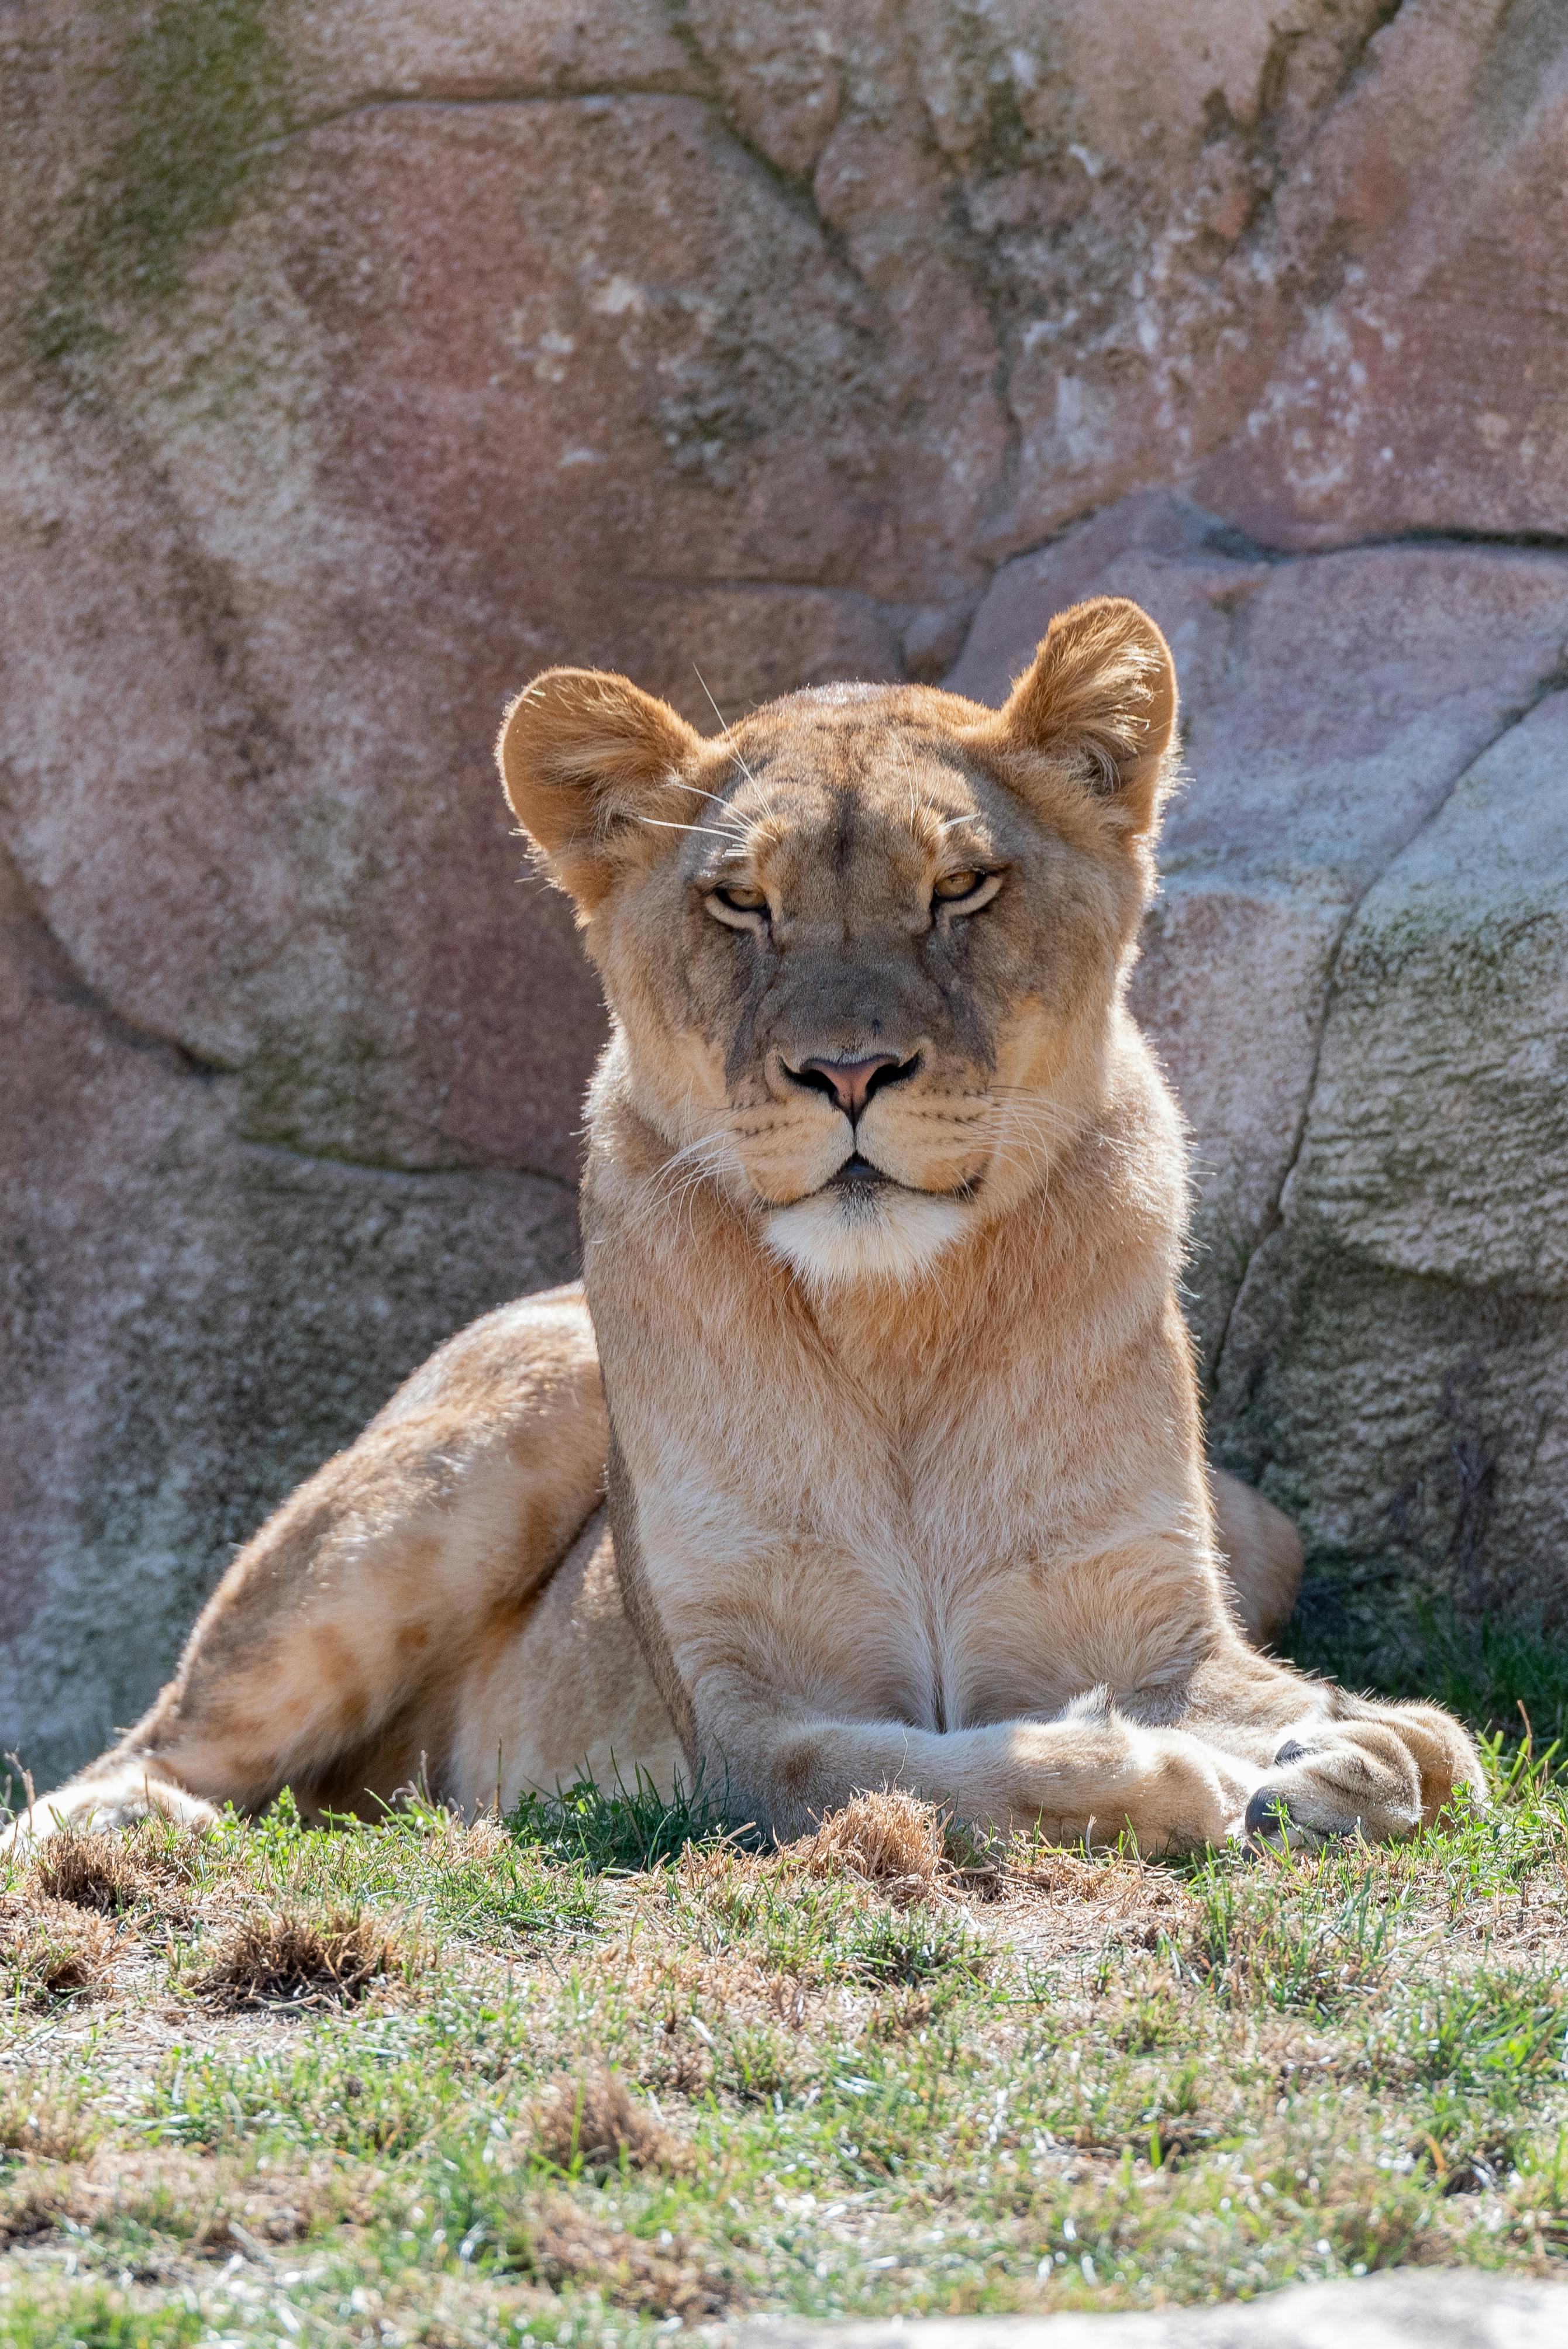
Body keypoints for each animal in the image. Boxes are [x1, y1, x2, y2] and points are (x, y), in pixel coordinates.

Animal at [5, 597, 1483, 1857]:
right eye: (741, 902)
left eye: (961, 889)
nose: (848, 1071)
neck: (895, 1323)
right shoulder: (740, 1716)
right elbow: (922, 1771)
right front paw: (1189, 1775)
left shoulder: (1157, 1623)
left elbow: (1414, 1737)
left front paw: (1346, 1751)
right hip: (476, 1445)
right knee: (154, 1741)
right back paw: (116, 1829)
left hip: (1263, 1529)